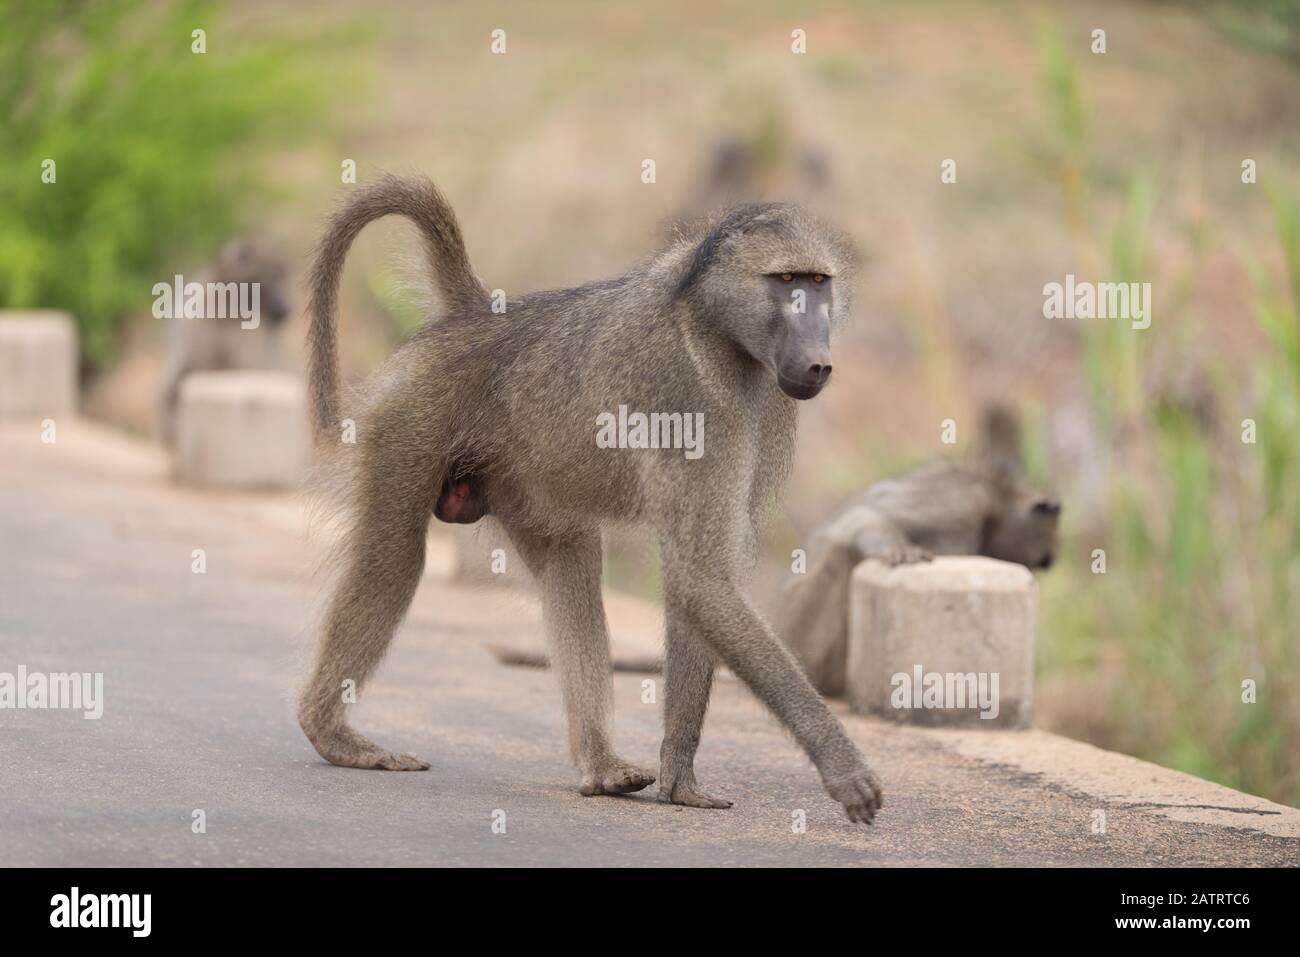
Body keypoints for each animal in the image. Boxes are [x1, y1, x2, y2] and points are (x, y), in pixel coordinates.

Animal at [297, 174, 883, 823]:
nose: (818, 359)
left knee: (568, 562)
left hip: (517, 474)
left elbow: (697, 581)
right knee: (393, 559)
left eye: (818, 282)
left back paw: (601, 767)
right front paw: (844, 767)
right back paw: (332, 734)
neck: (714, 327)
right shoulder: (686, 400)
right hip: (411, 412)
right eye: (785, 281)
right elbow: (701, 578)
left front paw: (680, 778)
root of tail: (477, 316)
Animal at [775, 406, 1062, 696]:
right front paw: (899, 548)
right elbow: (868, 513)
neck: (997, 505)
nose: (1032, 570)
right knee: (843, 551)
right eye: (1039, 560)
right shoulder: (962, 504)